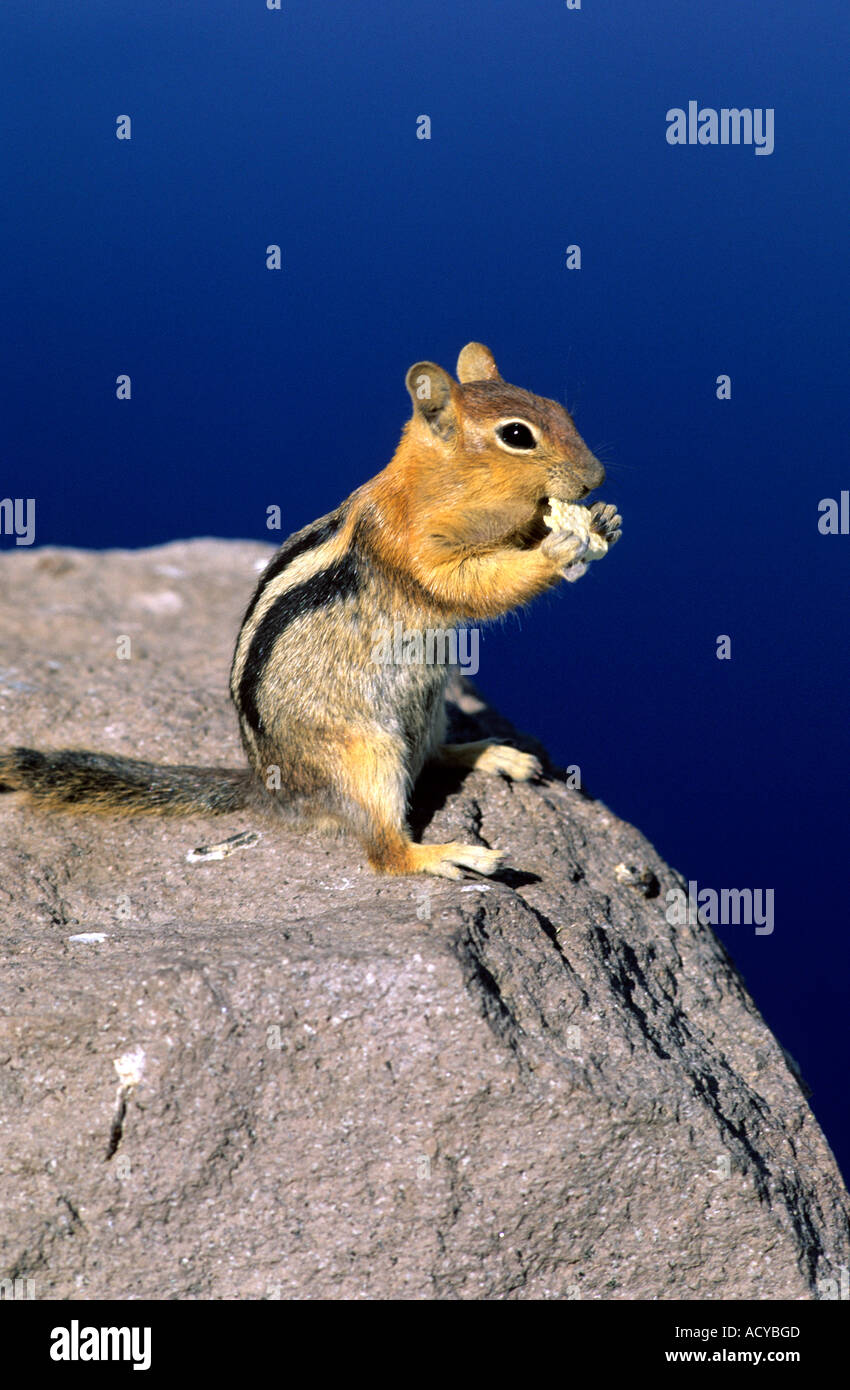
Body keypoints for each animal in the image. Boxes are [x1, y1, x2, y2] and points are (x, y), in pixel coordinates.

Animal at [0, 343, 620, 879]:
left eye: (559, 409)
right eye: (516, 435)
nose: (598, 477)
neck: (431, 486)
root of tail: (275, 791)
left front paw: (602, 519)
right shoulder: (414, 552)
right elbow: (475, 584)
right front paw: (559, 546)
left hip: (427, 715)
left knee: (435, 756)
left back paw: (493, 754)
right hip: (367, 757)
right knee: (385, 852)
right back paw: (447, 855)